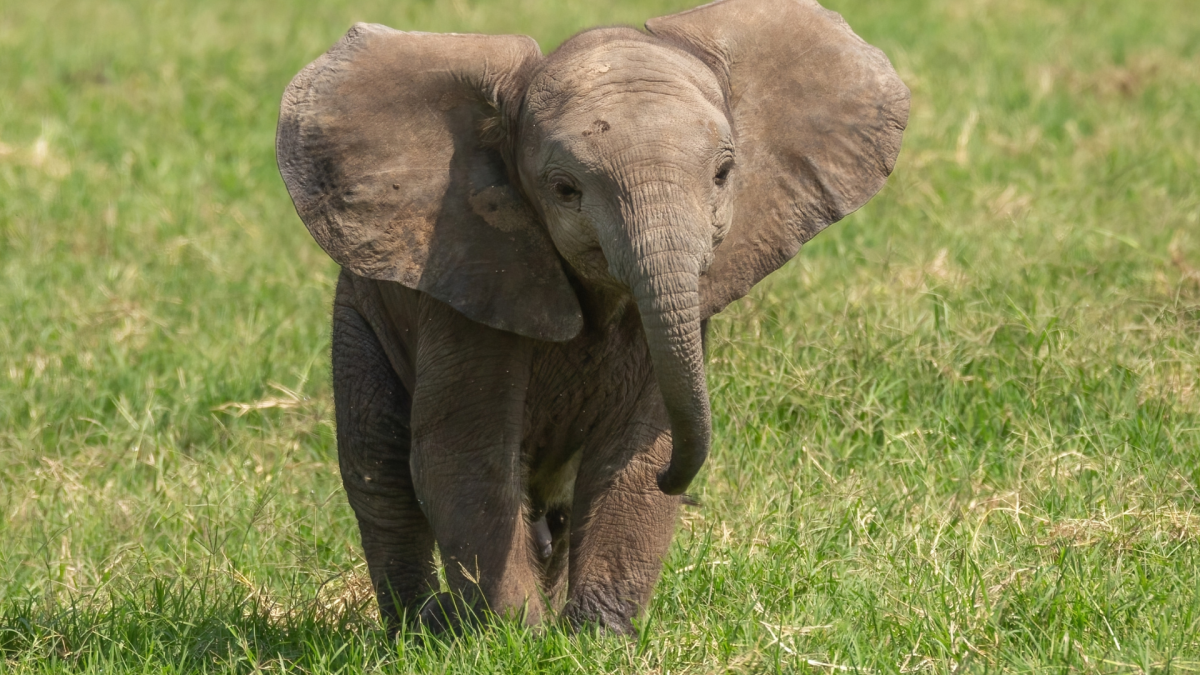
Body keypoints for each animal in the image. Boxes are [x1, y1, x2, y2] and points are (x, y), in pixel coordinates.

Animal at [276, 0, 908, 634]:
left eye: (724, 174)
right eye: (564, 189)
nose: (679, 478)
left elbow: (634, 449)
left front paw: (593, 638)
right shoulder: (472, 277)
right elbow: (464, 455)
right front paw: (516, 639)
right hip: (360, 316)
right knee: (380, 474)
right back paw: (420, 629)